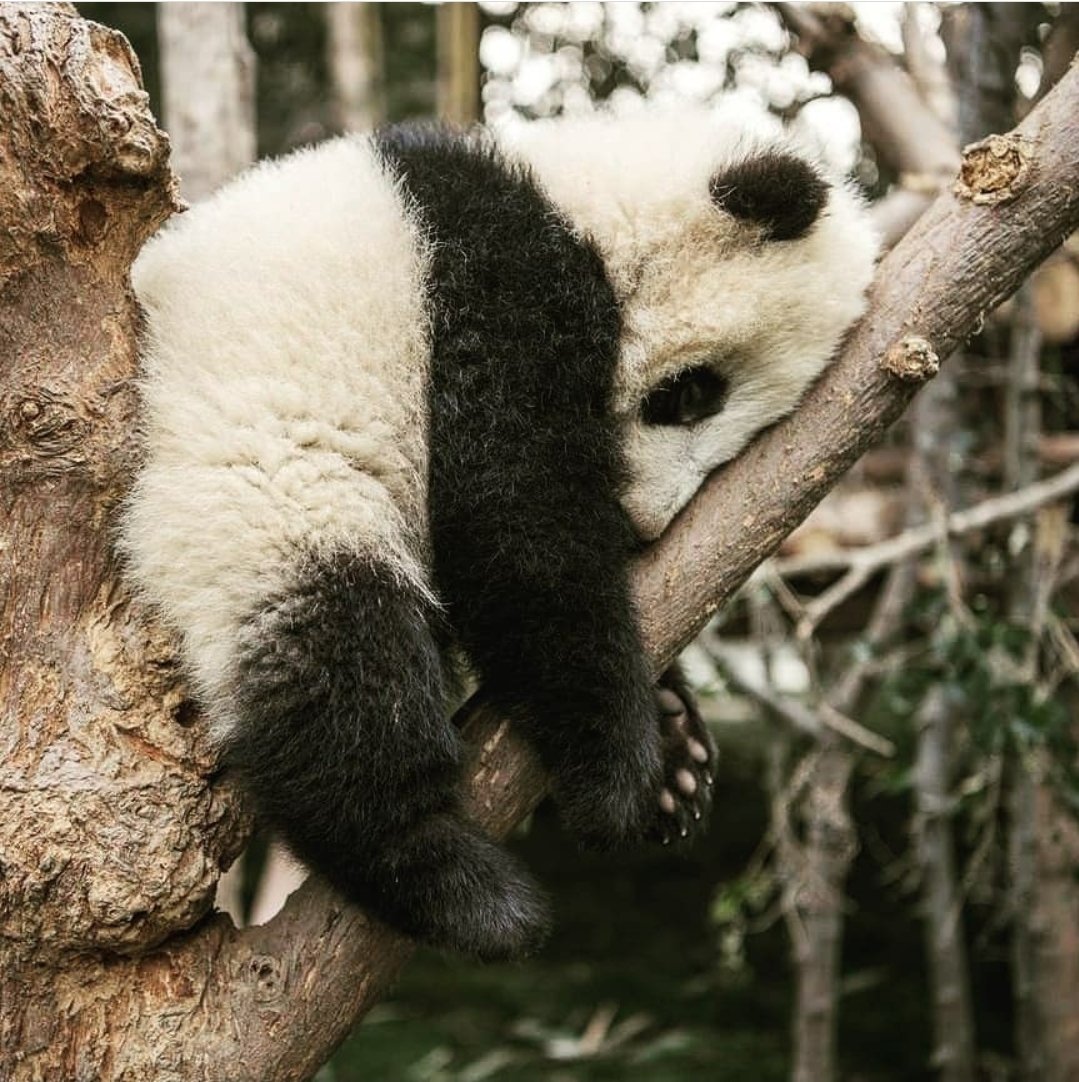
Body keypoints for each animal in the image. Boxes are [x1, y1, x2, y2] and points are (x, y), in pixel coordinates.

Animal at [120, 110, 877, 960]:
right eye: (691, 394)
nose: (643, 523)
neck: (585, 199)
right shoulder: (489, 284)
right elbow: (517, 523)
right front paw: (618, 777)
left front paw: (673, 740)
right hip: (262, 491)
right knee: (338, 662)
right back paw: (457, 889)